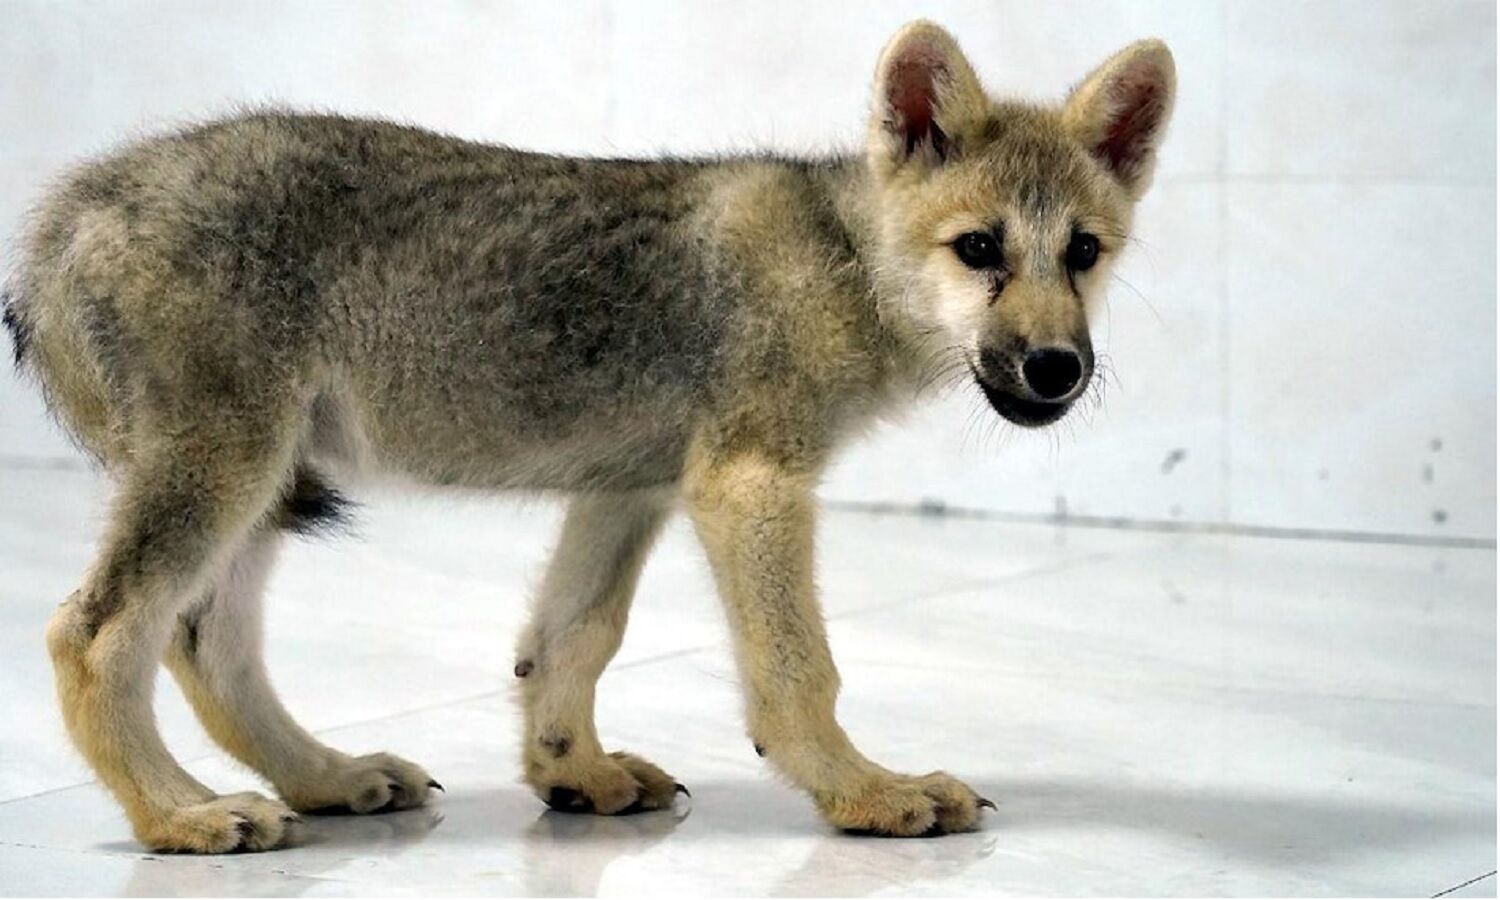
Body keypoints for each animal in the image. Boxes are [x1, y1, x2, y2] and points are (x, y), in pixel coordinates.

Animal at [3, 20, 1174, 850]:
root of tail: (72, 205)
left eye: (1083, 253)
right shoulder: (750, 486)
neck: (844, 261)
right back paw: (181, 815)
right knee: (95, 633)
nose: (1057, 370)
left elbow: (571, 640)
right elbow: (800, 675)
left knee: (205, 642)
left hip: (259, 483)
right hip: (225, 473)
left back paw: (325, 781)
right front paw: (865, 793)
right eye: (979, 249)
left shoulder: (630, 488)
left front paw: (572, 774)